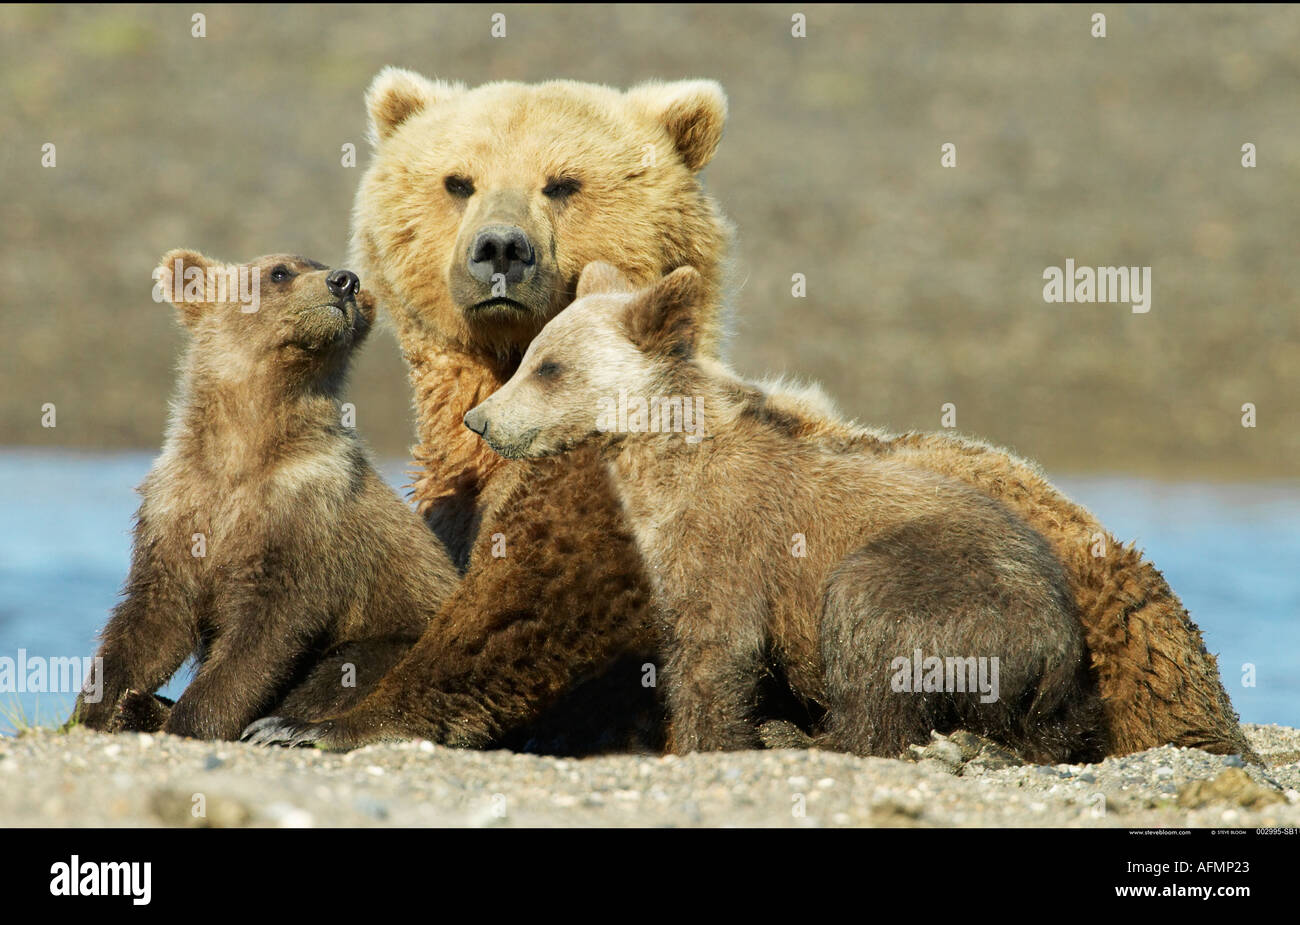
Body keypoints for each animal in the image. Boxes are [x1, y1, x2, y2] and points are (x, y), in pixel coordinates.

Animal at [70, 251, 459, 741]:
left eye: (325, 267)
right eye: (279, 272)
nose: (345, 282)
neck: (244, 449)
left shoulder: (306, 514)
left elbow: (265, 634)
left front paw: (190, 720)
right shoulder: (178, 503)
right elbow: (152, 617)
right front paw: (97, 709)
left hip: (407, 631)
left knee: (348, 671)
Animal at [461, 262, 1106, 763]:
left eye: (548, 367)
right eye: (532, 357)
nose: (481, 420)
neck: (658, 463)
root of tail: (1055, 648)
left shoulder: (728, 534)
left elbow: (717, 644)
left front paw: (706, 738)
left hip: (959, 593)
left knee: (871, 636)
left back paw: (813, 734)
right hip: (1045, 685)